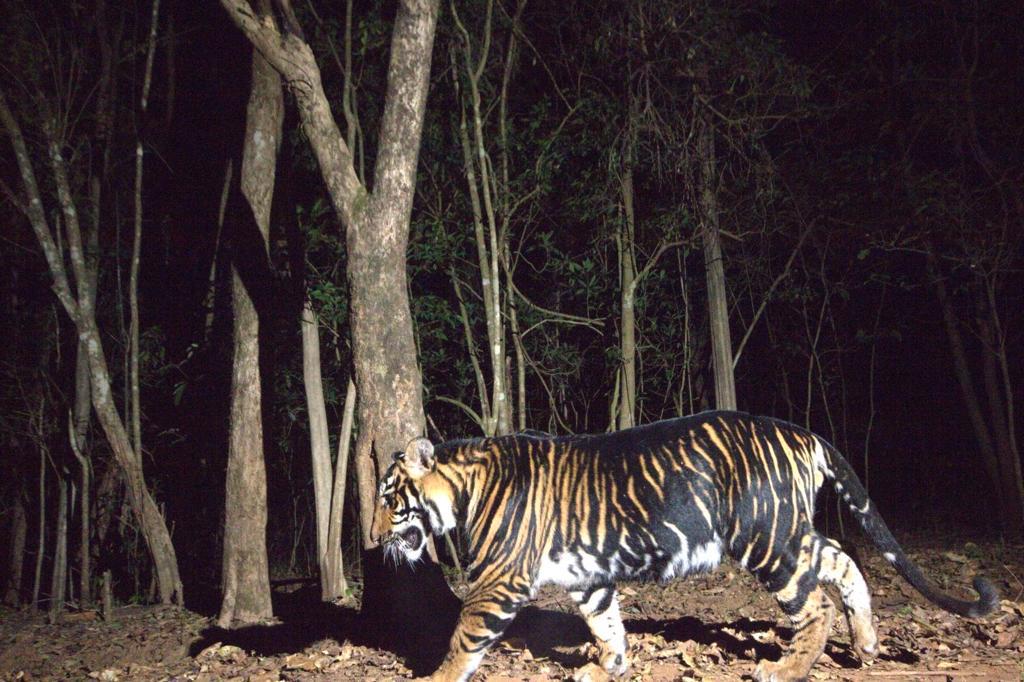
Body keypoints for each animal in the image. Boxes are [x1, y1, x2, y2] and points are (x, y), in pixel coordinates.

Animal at [371, 410, 998, 682]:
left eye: (388, 497)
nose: (372, 538)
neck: (464, 489)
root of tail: (803, 432)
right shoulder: (587, 578)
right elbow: (607, 623)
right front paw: (609, 667)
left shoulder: (499, 580)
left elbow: (463, 639)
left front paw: (436, 680)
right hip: (790, 533)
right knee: (844, 562)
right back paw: (865, 643)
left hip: (766, 541)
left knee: (814, 603)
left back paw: (786, 669)